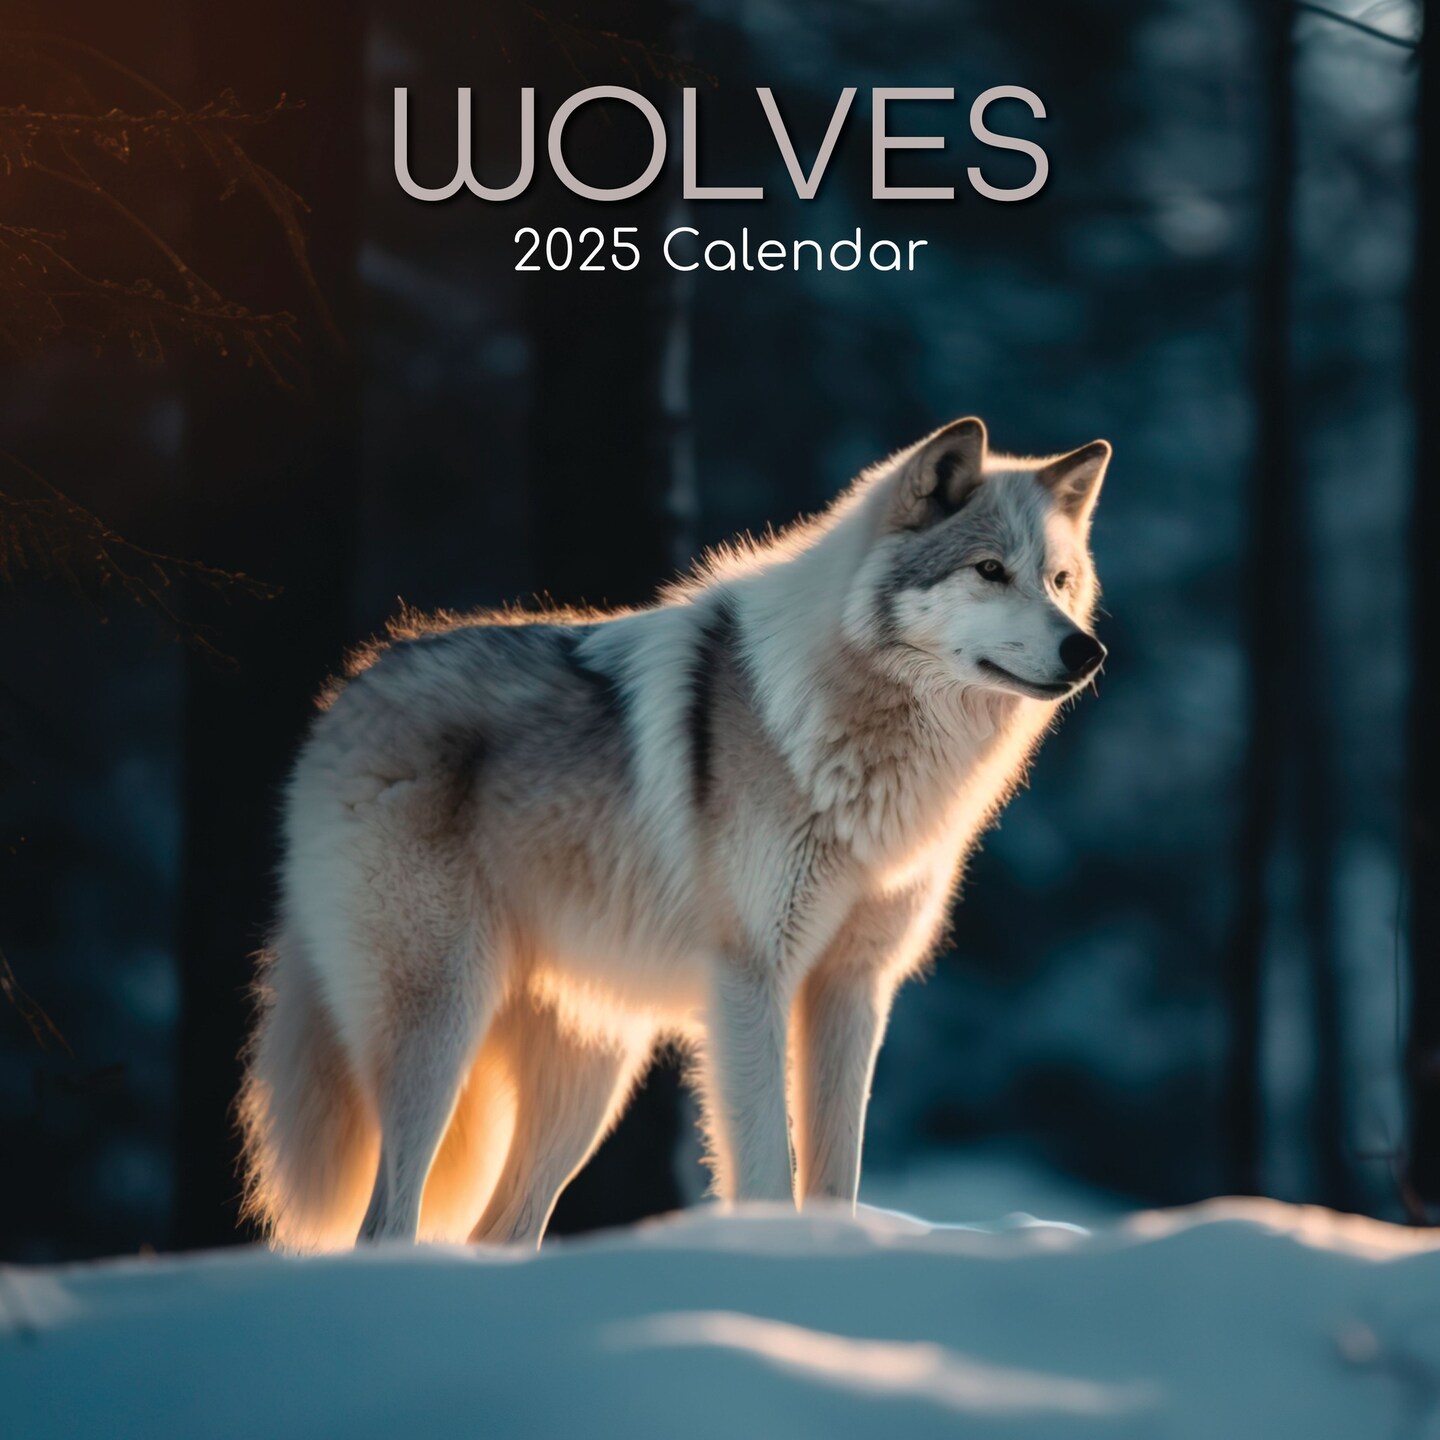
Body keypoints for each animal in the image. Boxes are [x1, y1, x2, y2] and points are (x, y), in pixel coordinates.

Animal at [238, 416, 1110, 1250]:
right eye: (989, 570)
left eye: (1059, 581)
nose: (1088, 649)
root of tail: (349, 696)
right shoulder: (752, 980)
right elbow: (767, 1169)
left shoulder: (854, 988)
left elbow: (837, 1175)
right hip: (443, 1027)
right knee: (386, 1223)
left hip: (589, 1079)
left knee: (499, 1229)